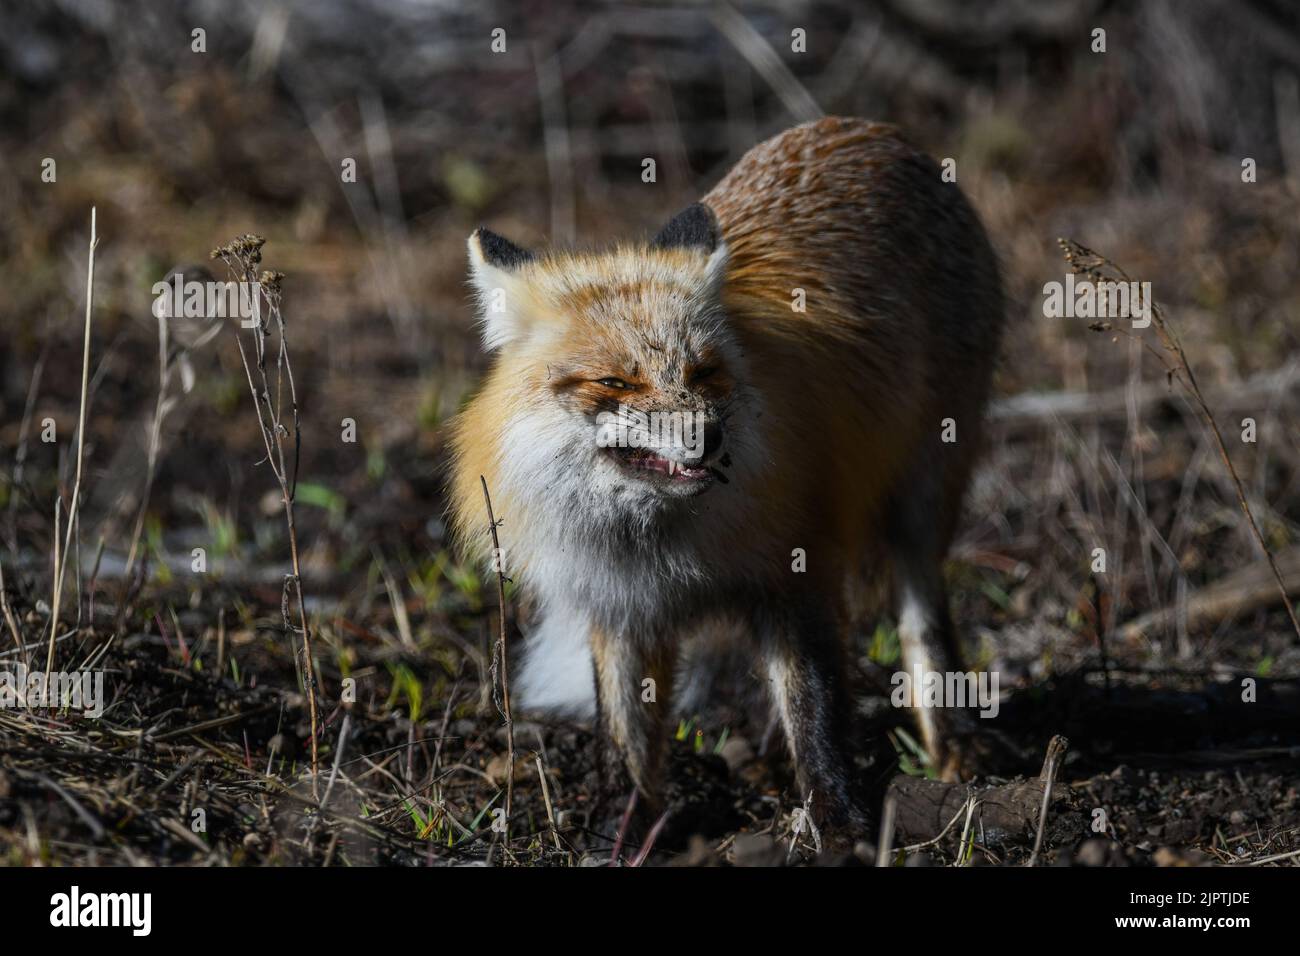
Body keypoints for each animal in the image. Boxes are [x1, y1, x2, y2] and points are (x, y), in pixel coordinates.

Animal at [448, 116, 1005, 834]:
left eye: (704, 372)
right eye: (615, 382)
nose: (707, 436)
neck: (663, 544)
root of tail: (867, 131)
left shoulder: (798, 573)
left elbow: (817, 713)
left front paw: (841, 825)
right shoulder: (622, 606)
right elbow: (626, 739)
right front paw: (620, 832)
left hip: (923, 492)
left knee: (923, 617)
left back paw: (954, 737)